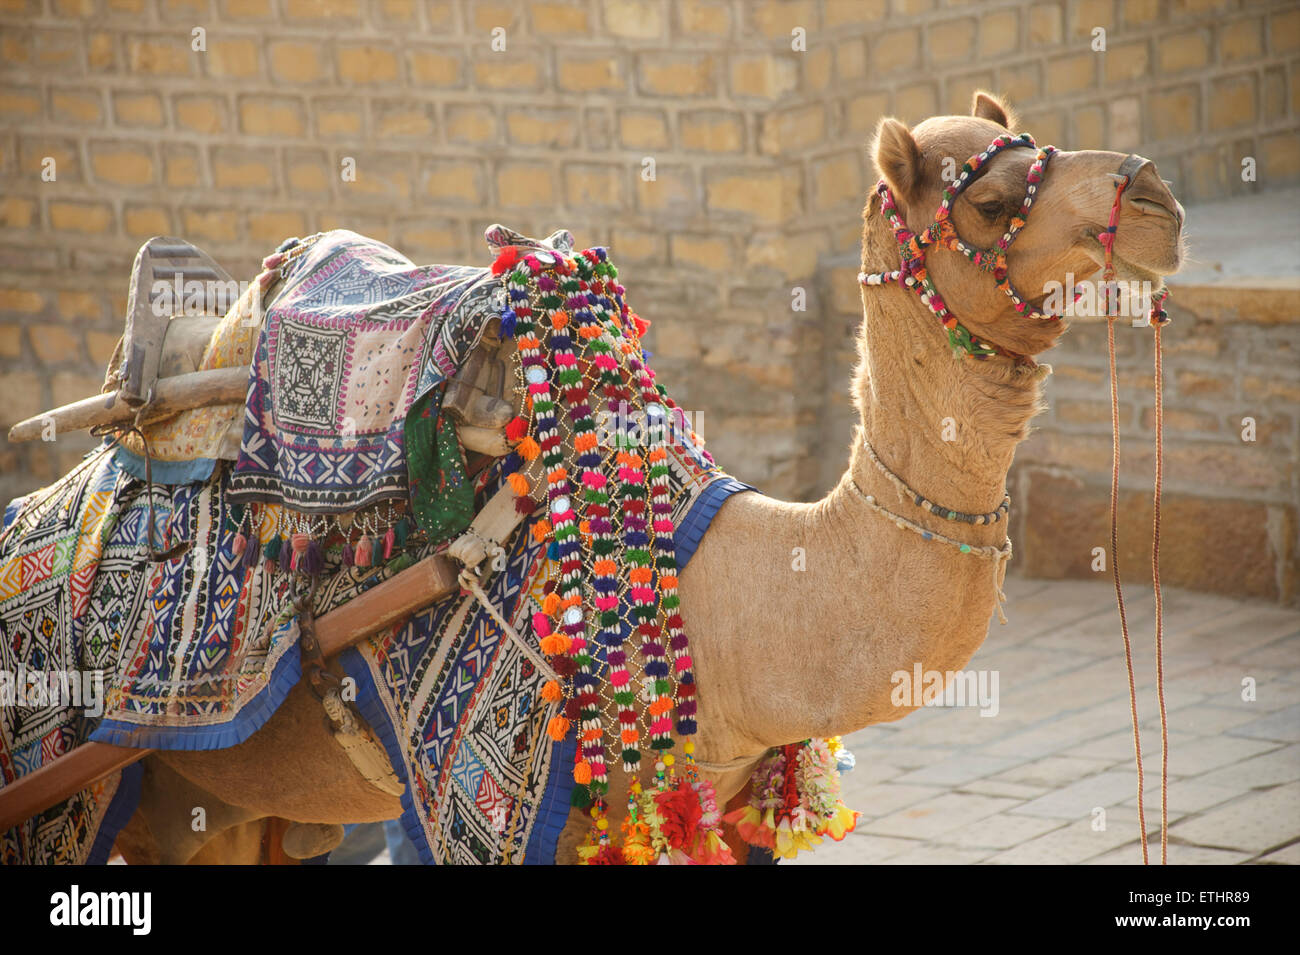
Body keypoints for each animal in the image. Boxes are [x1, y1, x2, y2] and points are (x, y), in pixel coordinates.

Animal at [112, 93, 1185, 864]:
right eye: (991, 202)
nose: (1158, 199)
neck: (736, 587)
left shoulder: (738, 803)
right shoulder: (518, 815)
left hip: (219, 798)